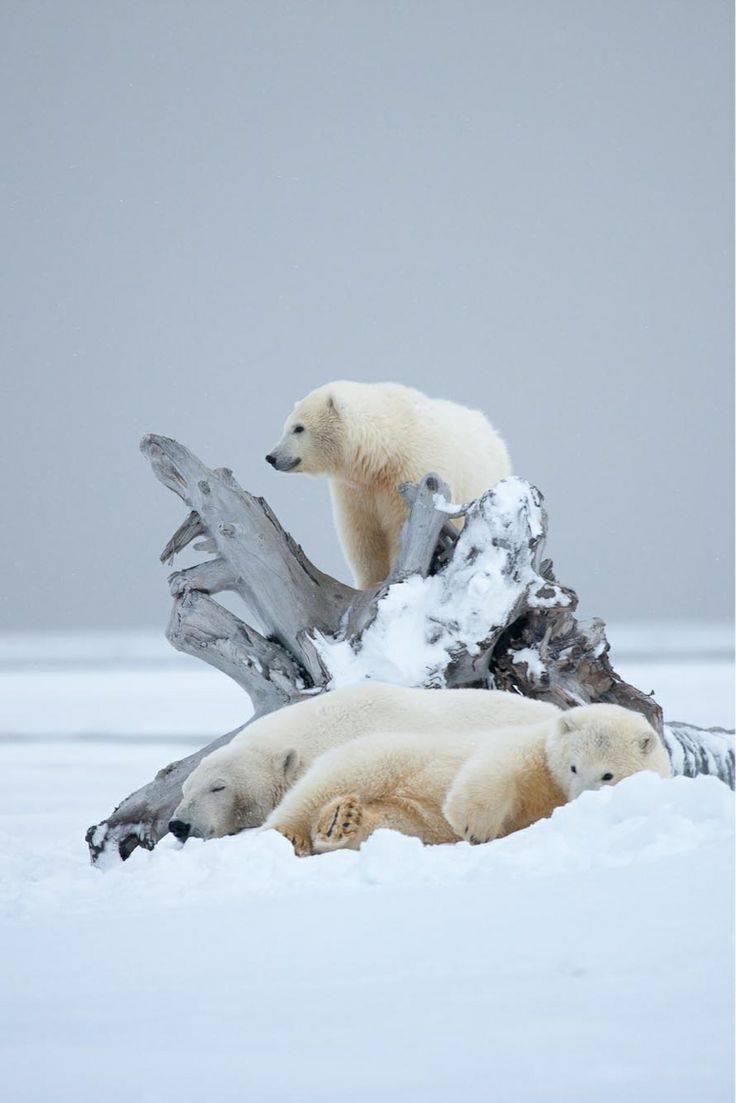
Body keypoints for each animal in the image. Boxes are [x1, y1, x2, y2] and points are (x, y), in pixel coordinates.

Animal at [263, 703, 671, 856]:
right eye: (573, 767)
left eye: (608, 774)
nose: (581, 798)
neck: (553, 789)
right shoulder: (533, 750)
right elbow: (496, 764)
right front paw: (473, 826)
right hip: (381, 756)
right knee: (324, 785)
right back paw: (291, 833)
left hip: (411, 817)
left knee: (391, 823)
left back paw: (343, 821)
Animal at [264, 380, 511, 588]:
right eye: (288, 426)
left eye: (299, 428)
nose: (272, 457)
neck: (386, 453)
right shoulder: (356, 491)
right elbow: (362, 537)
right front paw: (370, 584)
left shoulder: (413, 476)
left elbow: (403, 528)